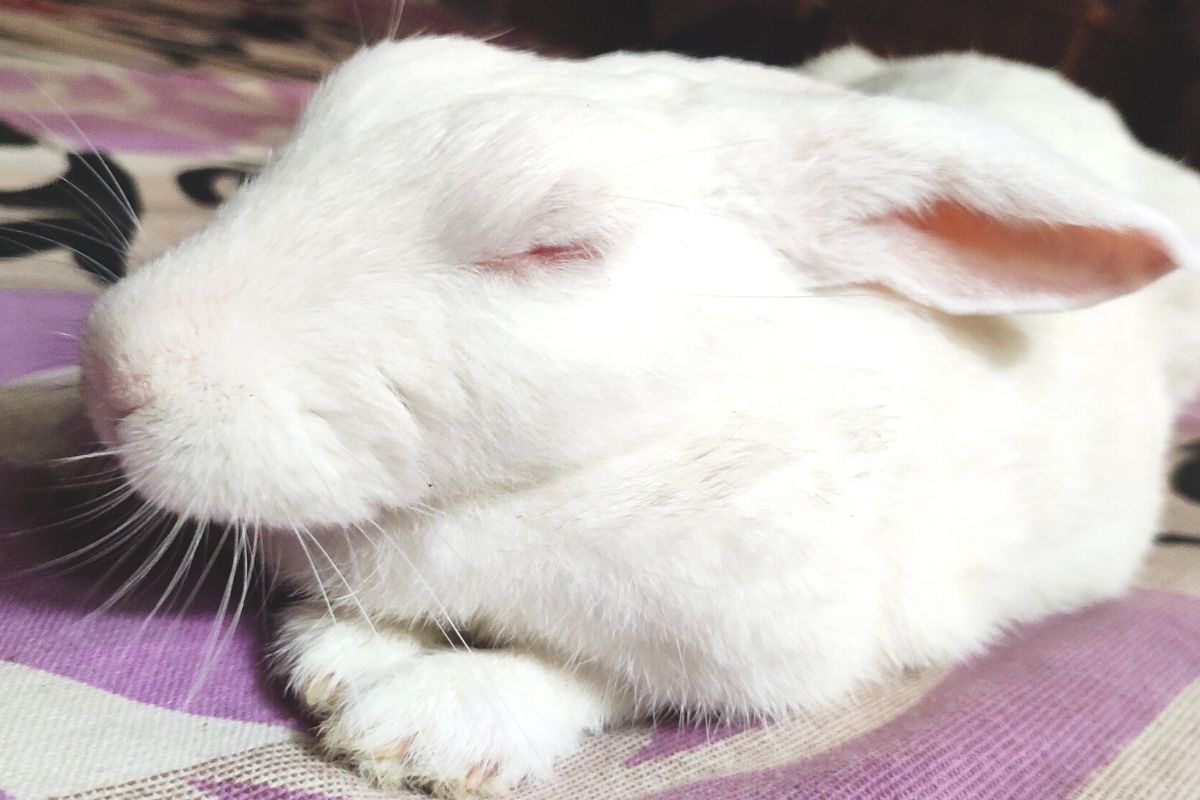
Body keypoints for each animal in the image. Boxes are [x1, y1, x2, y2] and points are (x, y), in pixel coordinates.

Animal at [78, 37, 1200, 796]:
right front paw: (338, 655)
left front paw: (427, 726)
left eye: (552, 248)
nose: (110, 370)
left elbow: (595, 674)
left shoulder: (760, 638)